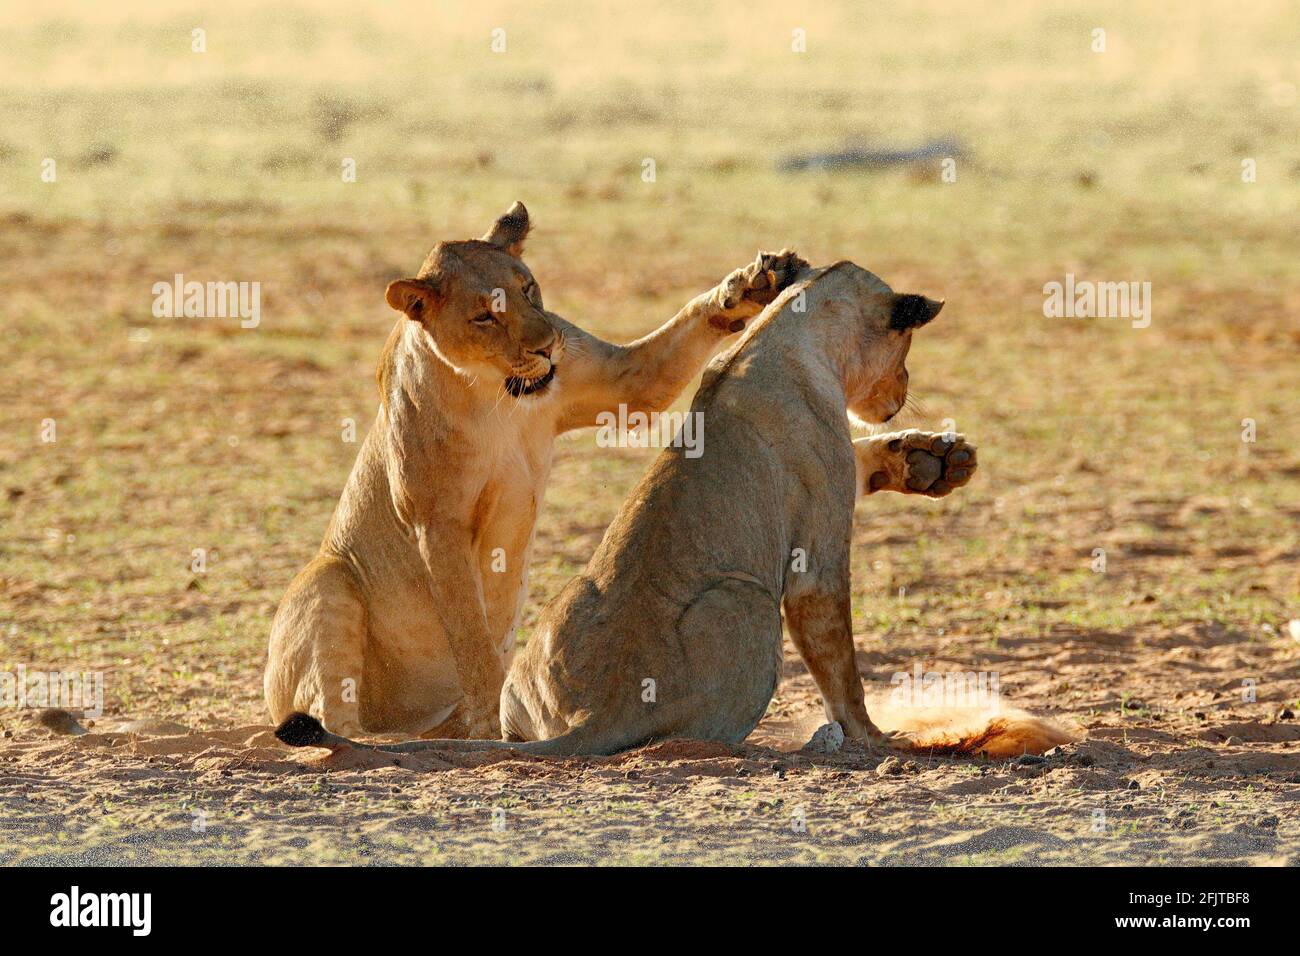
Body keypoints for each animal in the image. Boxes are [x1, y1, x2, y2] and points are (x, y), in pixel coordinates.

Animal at [263, 201, 807, 739]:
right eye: (484, 316)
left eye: (528, 289)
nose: (547, 345)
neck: (492, 393)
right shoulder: (436, 524)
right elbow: (471, 634)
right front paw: (490, 722)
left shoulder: (624, 385)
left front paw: (754, 284)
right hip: (329, 580)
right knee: (333, 714)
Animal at [275, 260, 1075, 757]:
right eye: (905, 348)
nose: (902, 393)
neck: (785, 333)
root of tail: (599, 711)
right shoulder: (815, 550)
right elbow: (840, 660)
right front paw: (873, 739)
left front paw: (932, 459)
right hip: (746, 602)